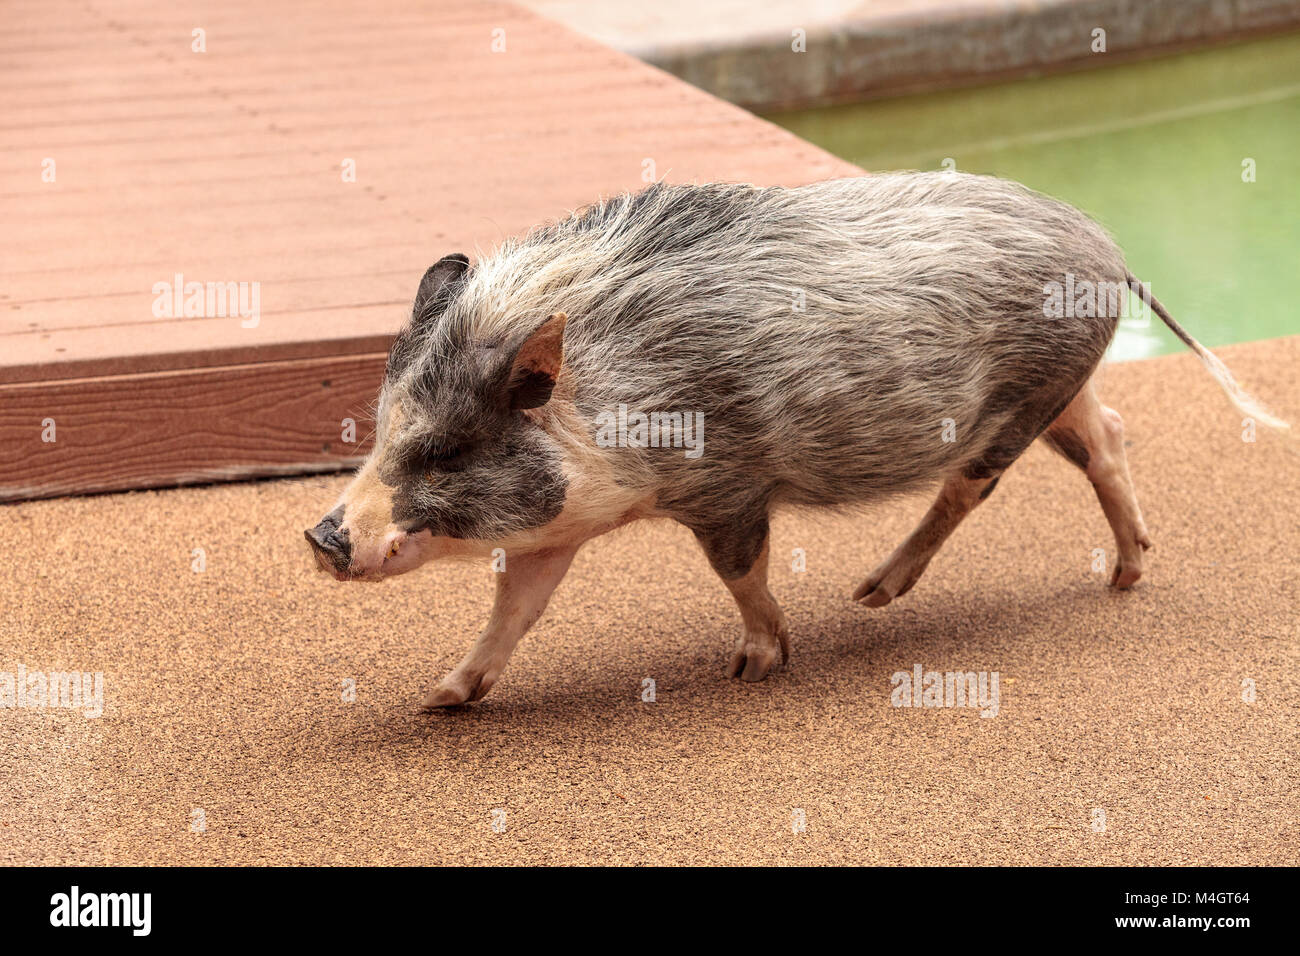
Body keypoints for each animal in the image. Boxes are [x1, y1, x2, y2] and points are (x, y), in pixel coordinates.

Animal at [305, 172, 1286, 708]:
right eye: (382, 432)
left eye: (446, 451)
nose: (320, 535)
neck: (618, 395)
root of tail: (1106, 246)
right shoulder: (559, 524)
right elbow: (516, 606)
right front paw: (439, 699)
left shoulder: (727, 487)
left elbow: (738, 570)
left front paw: (753, 665)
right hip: (1066, 387)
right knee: (1109, 438)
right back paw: (1126, 572)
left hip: (1027, 396)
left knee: (975, 482)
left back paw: (871, 596)